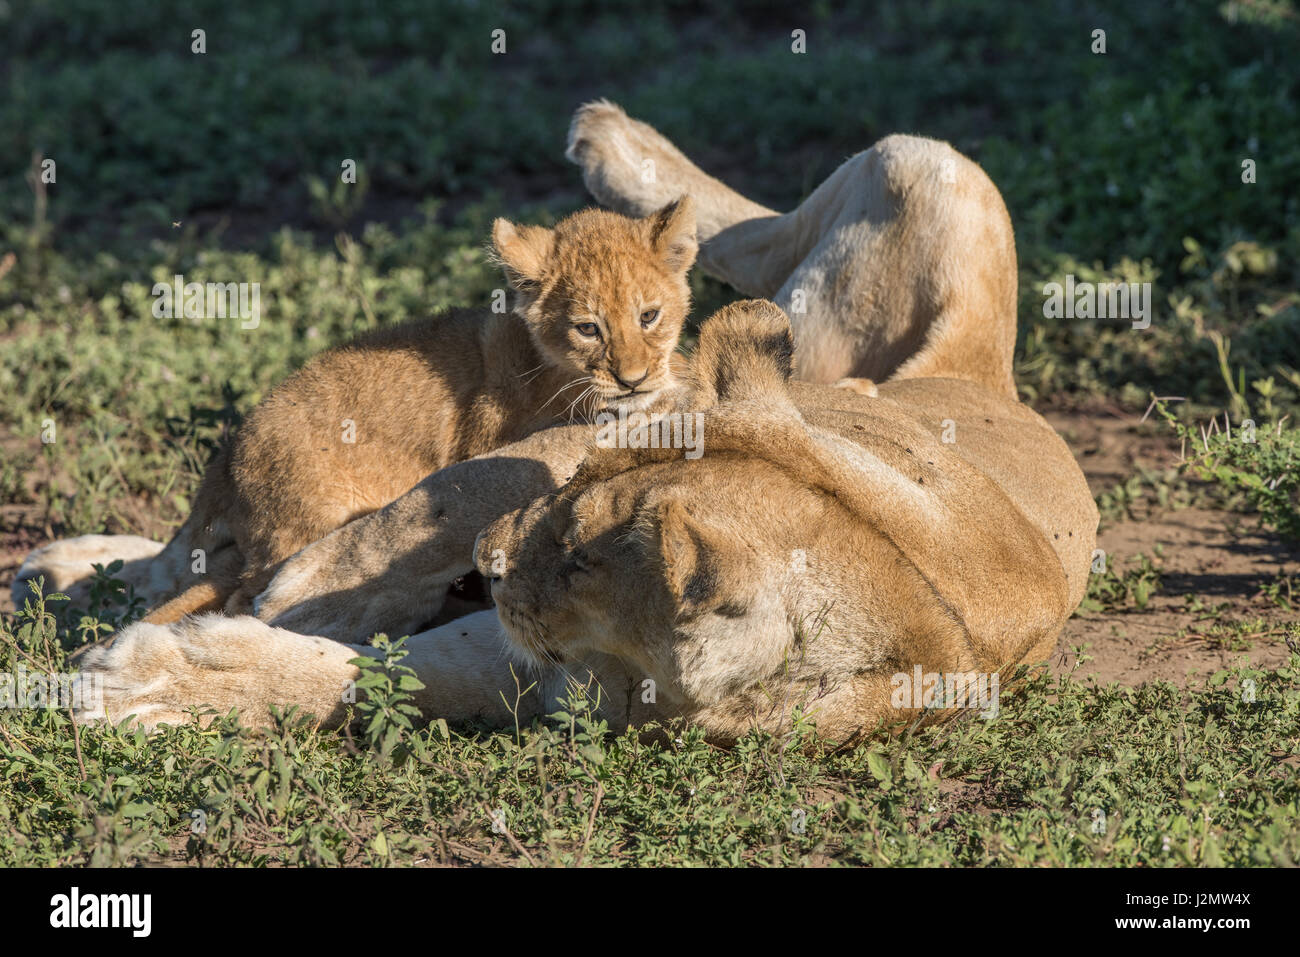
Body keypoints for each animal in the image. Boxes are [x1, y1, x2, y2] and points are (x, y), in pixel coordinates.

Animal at [13, 197, 700, 622]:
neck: (554, 368)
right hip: (301, 527)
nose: (635, 378)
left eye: (649, 316)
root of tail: (225, 459)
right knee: (237, 599)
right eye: (588, 328)